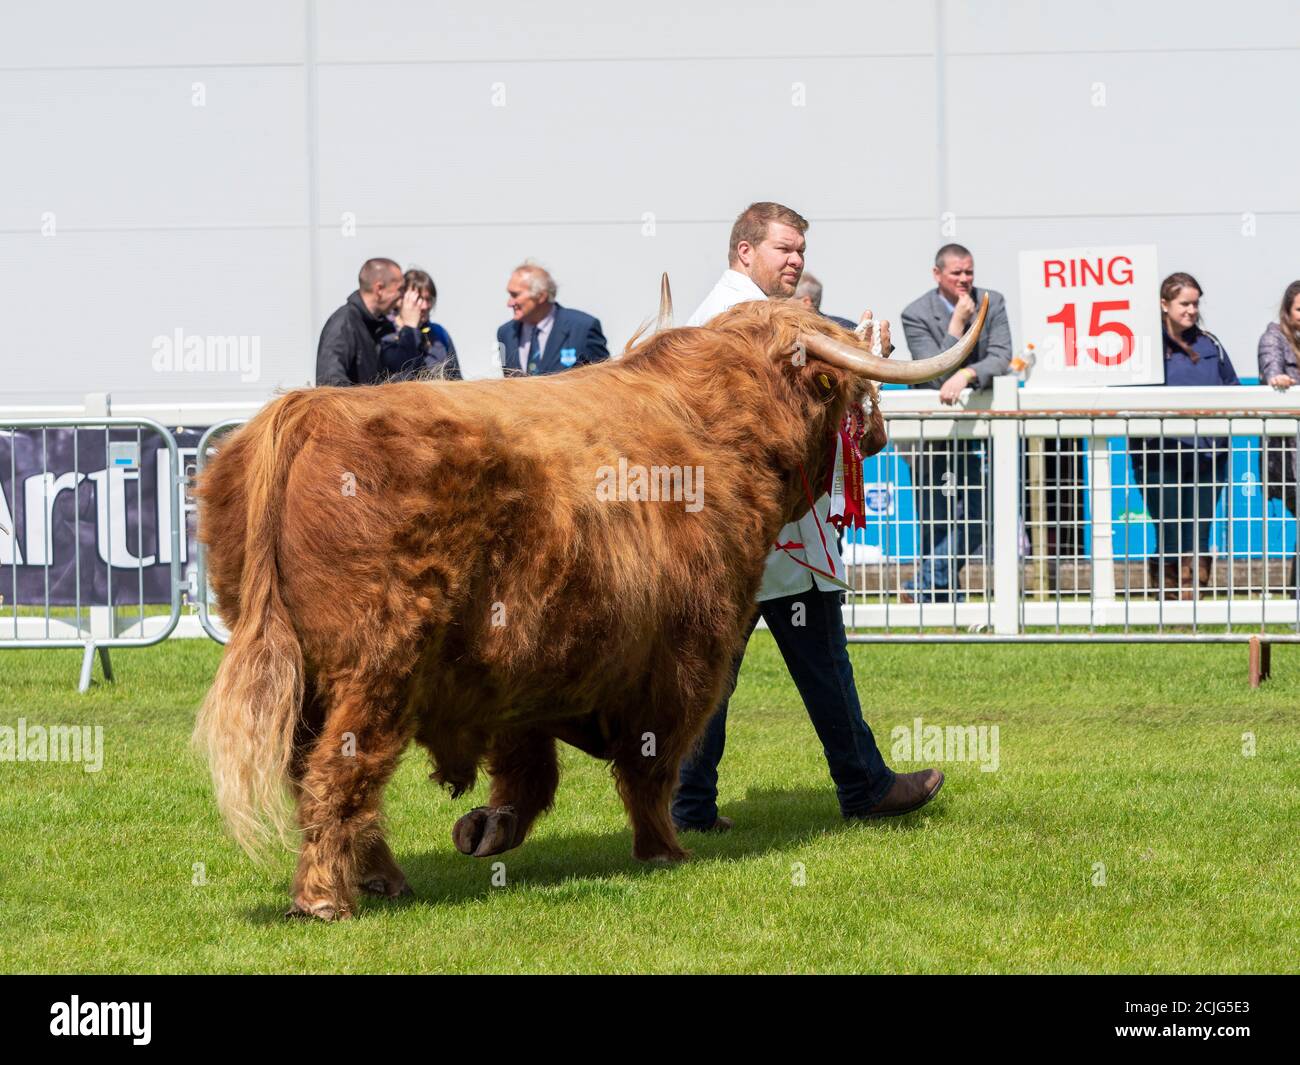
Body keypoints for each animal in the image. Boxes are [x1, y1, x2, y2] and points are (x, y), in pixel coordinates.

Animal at [194, 281, 987, 920]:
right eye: (854, 390)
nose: (880, 431)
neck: (721, 433)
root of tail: (306, 411)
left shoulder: (526, 664)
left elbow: (529, 768)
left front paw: (487, 828)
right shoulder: (689, 652)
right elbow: (653, 761)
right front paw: (665, 849)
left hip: (305, 675)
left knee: (315, 774)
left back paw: (382, 877)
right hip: (378, 664)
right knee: (339, 776)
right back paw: (326, 898)